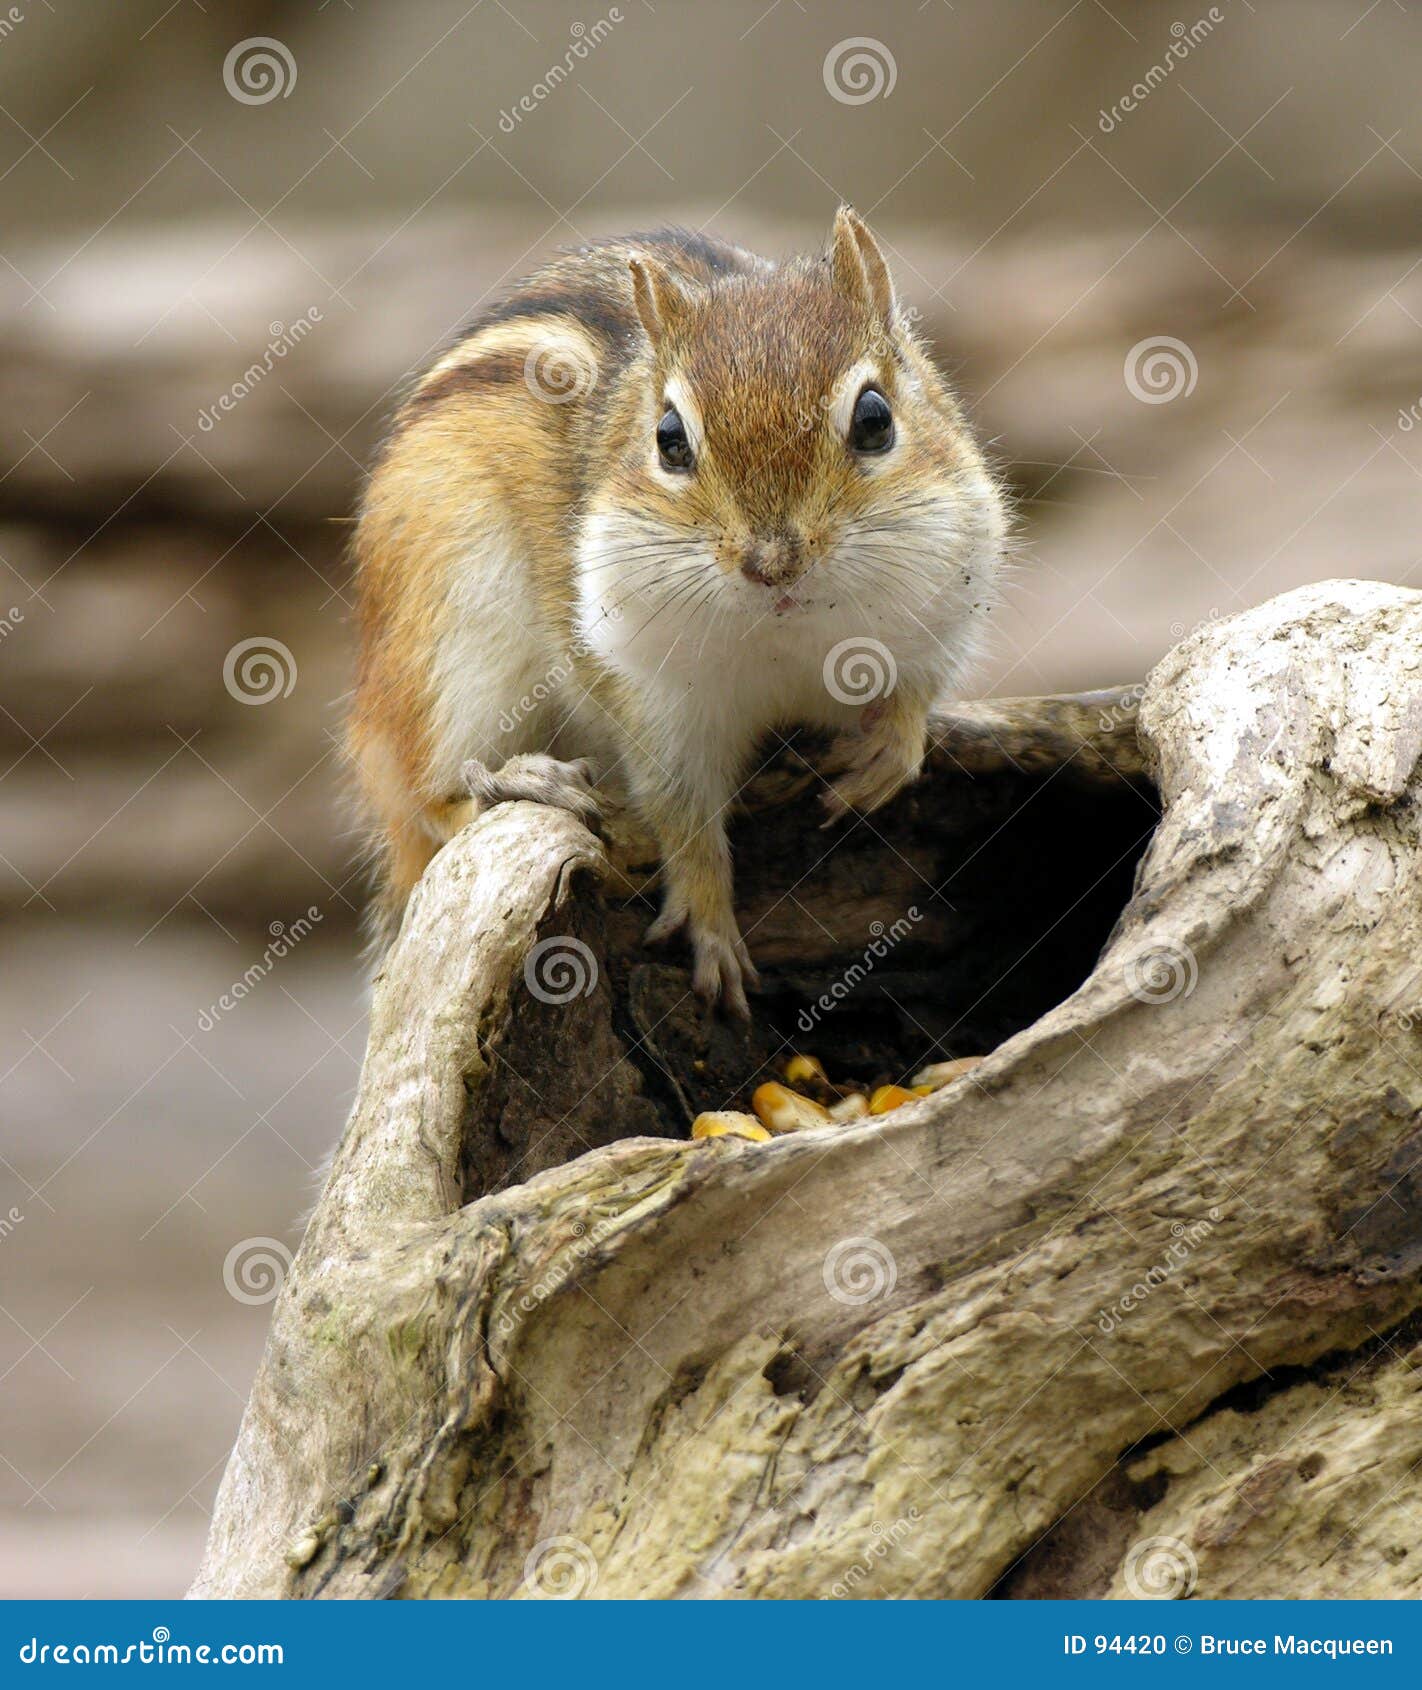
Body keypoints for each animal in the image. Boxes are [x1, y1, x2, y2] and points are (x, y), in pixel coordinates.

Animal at [348, 207, 1005, 1018]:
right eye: (669, 441)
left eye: (876, 420)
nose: (771, 561)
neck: (789, 639)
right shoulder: (650, 697)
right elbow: (682, 814)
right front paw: (710, 928)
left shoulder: (943, 610)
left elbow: (914, 702)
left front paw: (885, 753)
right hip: (448, 638)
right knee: (426, 800)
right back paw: (521, 781)